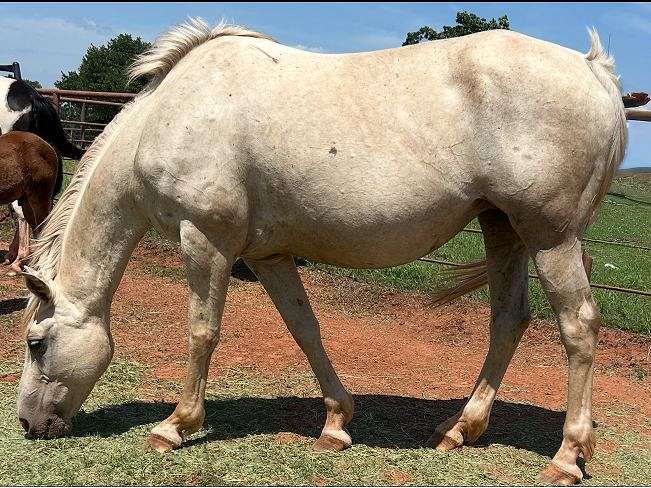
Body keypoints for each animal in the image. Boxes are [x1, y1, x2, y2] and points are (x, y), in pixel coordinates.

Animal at [16, 19, 626, 485]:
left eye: (36, 343)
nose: (27, 426)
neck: (172, 115)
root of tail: (593, 68)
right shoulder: (268, 256)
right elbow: (304, 328)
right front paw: (336, 422)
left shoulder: (206, 240)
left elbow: (202, 331)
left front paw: (175, 425)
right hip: (503, 228)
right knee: (508, 320)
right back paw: (458, 429)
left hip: (549, 237)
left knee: (578, 327)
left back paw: (566, 458)